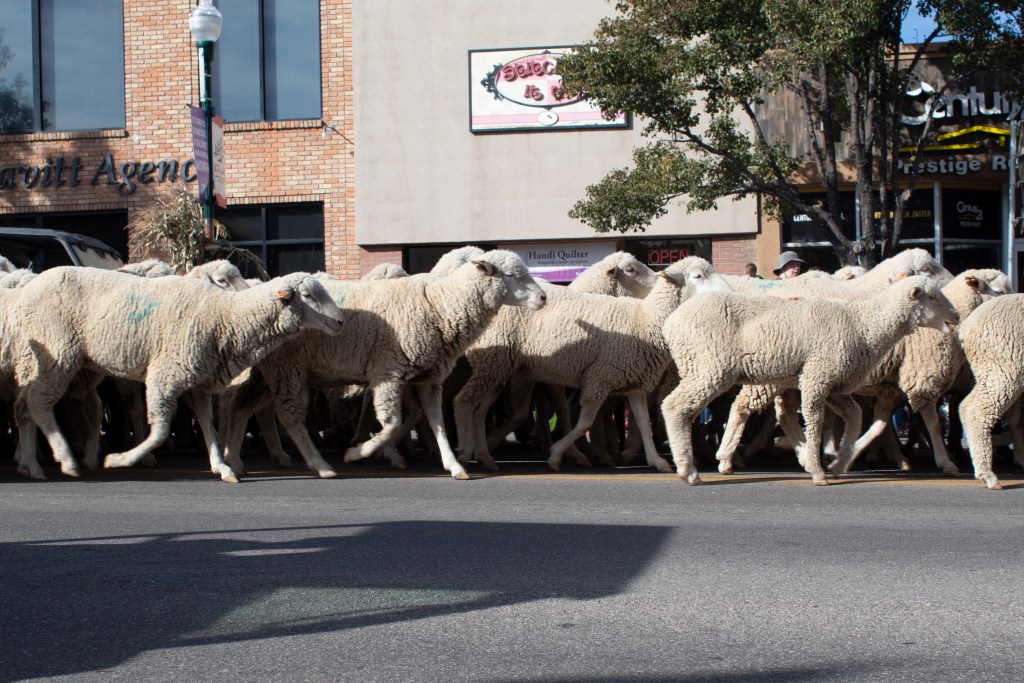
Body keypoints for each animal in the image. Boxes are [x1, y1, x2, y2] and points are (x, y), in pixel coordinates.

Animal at [11, 267, 344, 482]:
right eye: (307, 295)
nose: (341, 321)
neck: (223, 315)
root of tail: (27, 290)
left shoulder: (199, 381)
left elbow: (208, 425)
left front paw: (222, 467)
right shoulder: (164, 375)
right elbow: (160, 431)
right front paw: (121, 459)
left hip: (56, 362)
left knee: (25, 405)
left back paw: (30, 463)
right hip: (57, 351)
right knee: (38, 402)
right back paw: (64, 459)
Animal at [218, 249, 547, 480]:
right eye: (512, 274)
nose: (544, 297)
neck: (439, 305)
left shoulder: (428, 379)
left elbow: (437, 424)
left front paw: (454, 465)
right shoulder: (388, 372)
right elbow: (392, 424)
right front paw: (361, 452)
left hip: (270, 372)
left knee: (242, 408)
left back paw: (234, 459)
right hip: (287, 370)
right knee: (285, 416)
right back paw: (317, 463)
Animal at [452, 257, 733, 474]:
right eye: (697, 276)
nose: (729, 292)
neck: (645, 319)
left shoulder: (636, 383)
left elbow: (643, 423)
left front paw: (657, 461)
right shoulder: (599, 378)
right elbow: (585, 421)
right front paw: (557, 454)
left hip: (498, 369)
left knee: (479, 410)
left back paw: (485, 455)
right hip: (494, 365)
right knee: (465, 402)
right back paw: (465, 453)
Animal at [660, 275, 960, 485]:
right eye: (932, 296)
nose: (957, 316)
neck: (863, 324)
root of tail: (671, 322)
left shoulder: (835, 383)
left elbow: (854, 419)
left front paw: (839, 462)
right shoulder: (816, 377)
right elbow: (815, 421)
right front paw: (819, 471)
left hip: (718, 370)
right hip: (710, 368)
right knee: (675, 406)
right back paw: (689, 470)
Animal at [956, 293, 1024, 489]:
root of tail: (966, 328)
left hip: (987, 372)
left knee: (966, 407)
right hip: (1004, 368)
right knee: (978, 412)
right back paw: (988, 475)